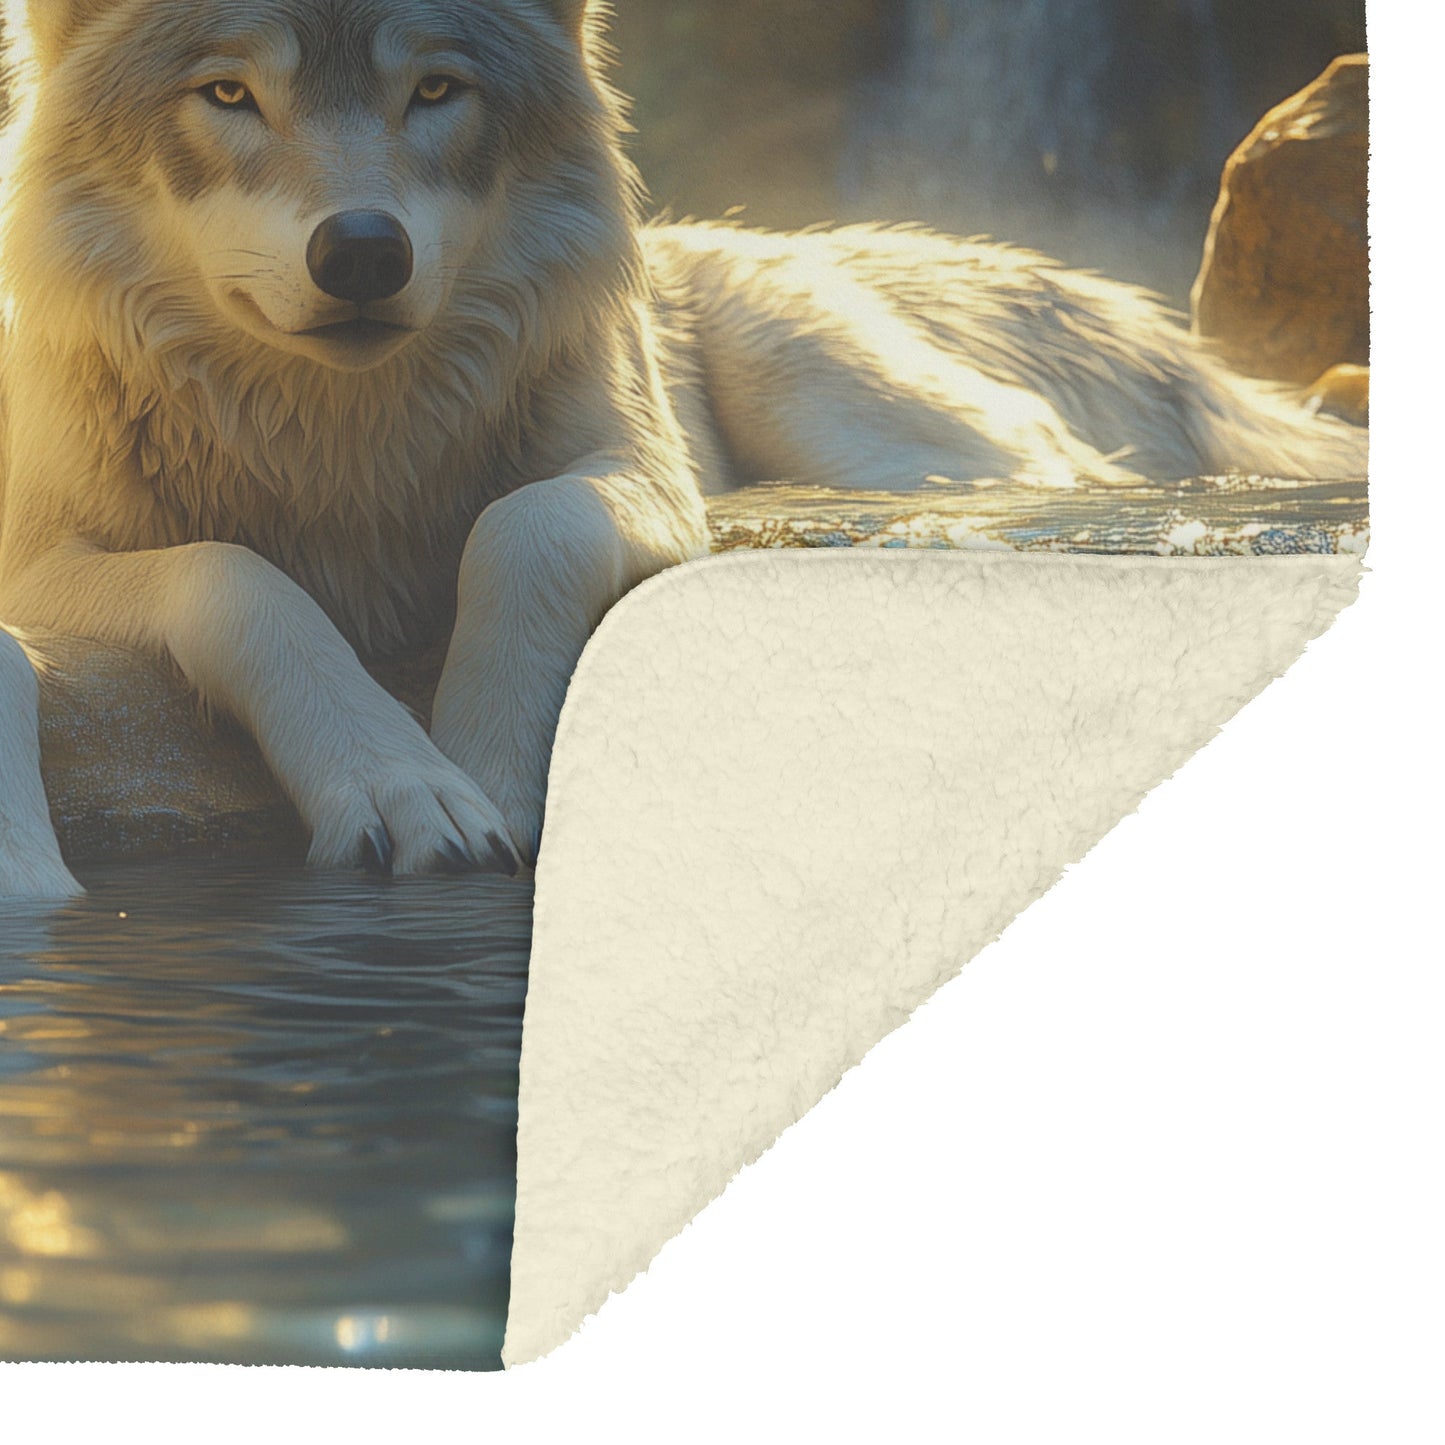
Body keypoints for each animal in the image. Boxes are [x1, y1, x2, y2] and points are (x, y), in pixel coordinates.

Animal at [0, 0, 1366, 900]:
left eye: (435, 91)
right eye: (229, 94)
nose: (362, 252)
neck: (342, 441)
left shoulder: (640, 477)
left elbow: (524, 525)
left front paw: (488, 770)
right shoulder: (41, 555)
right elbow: (236, 573)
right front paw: (395, 781)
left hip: (841, 410)